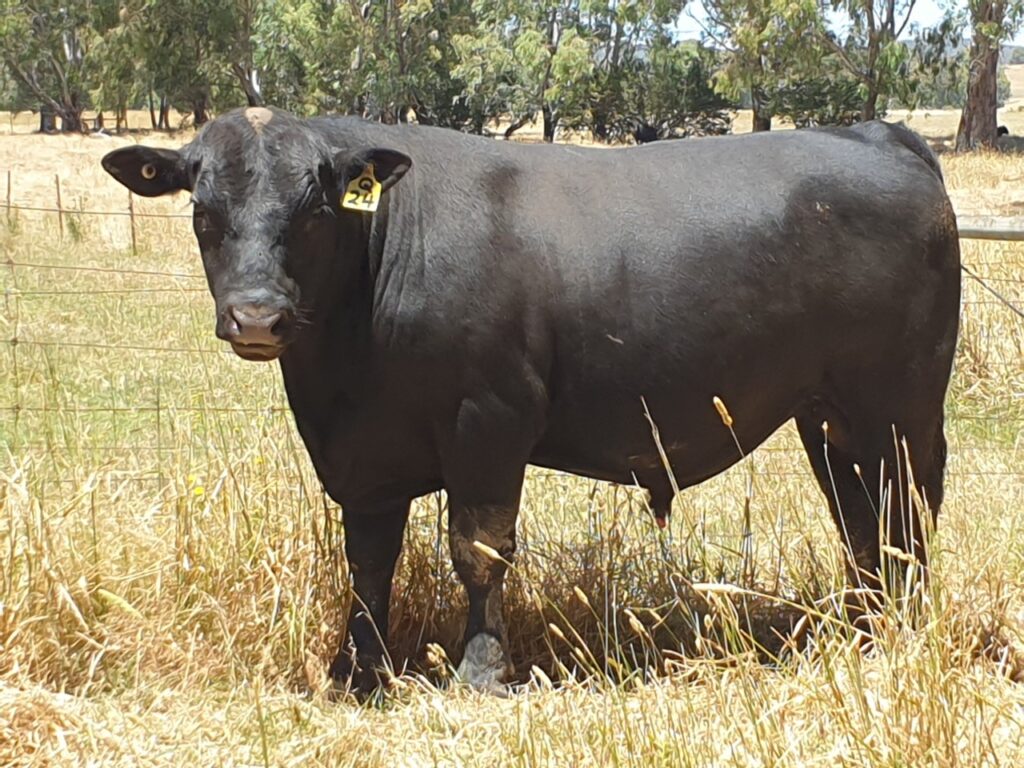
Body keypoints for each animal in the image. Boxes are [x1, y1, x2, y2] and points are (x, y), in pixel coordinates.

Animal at [102, 107, 961, 695]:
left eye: (315, 210)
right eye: (203, 213)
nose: (257, 317)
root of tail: (879, 135)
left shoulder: (489, 418)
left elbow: (479, 548)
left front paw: (482, 668)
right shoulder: (363, 455)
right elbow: (369, 562)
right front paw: (359, 668)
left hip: (900, 409)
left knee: (908, 512)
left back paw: (901, 631)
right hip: (830, 418)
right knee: (864, 520)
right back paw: (864, 626)